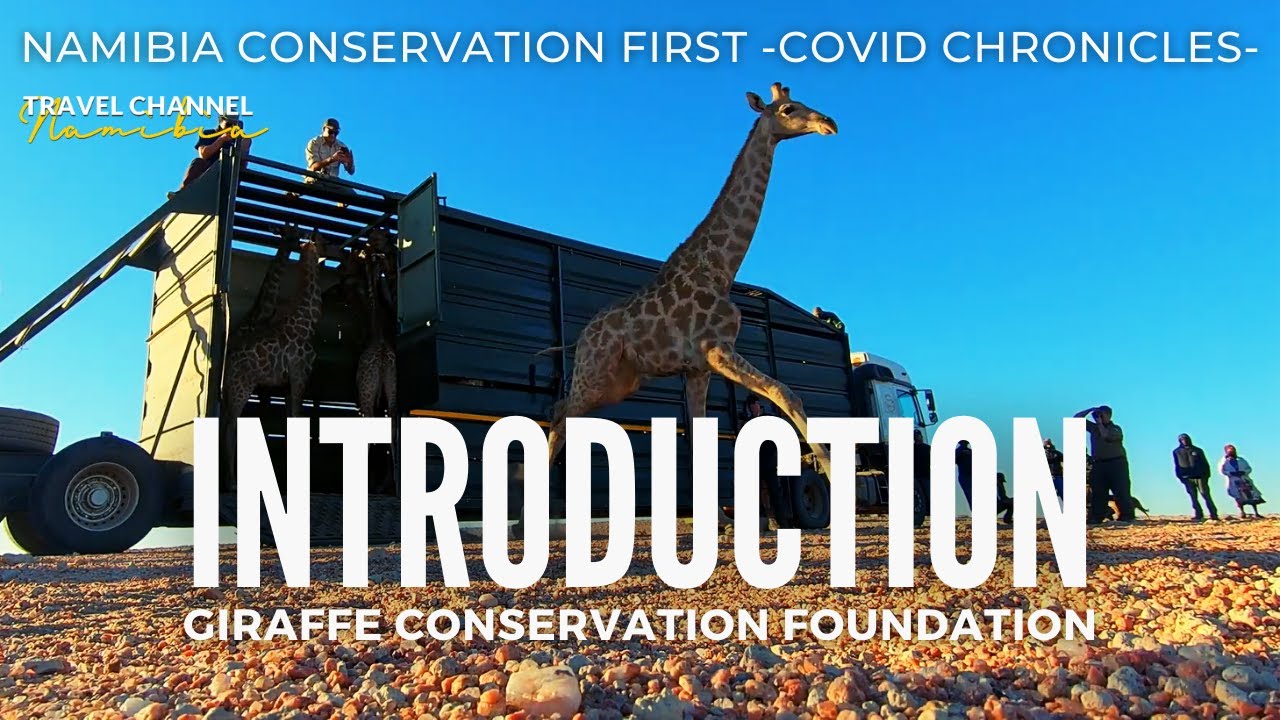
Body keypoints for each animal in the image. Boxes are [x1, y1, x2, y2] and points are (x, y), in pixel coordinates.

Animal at [540, 82, 839, 487]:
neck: (722, 269)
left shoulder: (698, 368)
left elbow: (701, 436)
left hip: (619, 382)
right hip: (594, 375)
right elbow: (784, 391)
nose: (829, 123)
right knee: (559, 414)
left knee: (563, 414)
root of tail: (581, 338)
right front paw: (837, 477)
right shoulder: (717, 350)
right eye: (789, 109)